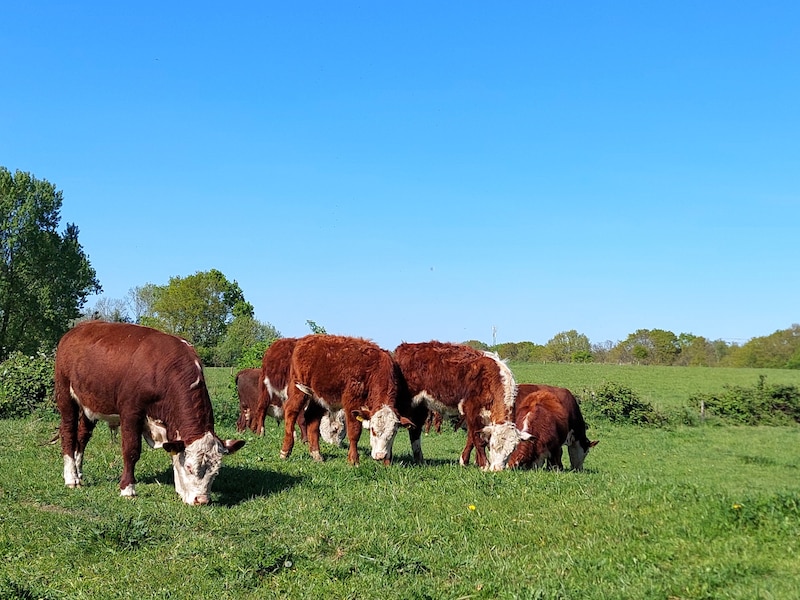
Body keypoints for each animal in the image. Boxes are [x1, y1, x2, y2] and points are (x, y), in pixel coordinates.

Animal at [54, 321, 245, 505]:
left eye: (216, 472)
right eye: (190, 467)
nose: (202, 500)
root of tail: (76, 330)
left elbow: (174, 453)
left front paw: (179, 490)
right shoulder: (130, 412)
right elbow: (131, 451)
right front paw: (127, 489)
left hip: (89, 404)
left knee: (82, 436)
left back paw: (78, 473)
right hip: (65, 395)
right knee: (68, 432)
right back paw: (71, 477)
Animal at [280, 335, 413, 466]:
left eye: (393, 433)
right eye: (373, 430)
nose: (380, 456)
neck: (375, 370)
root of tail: (306, 339)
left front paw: (387, 462)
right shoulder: (352, 403)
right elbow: (354, 432)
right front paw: (353, 459)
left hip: (317, 397)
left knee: (312, 418)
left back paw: (316, 454)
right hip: (298, 389)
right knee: (291, 412)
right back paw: (285, 451)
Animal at [393, 341, 520, 471]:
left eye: (511, 451)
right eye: (494, 446)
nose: (498, 469)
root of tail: (405, 346)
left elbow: (472, 438)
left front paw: (468, 461)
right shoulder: (471, 411)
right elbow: (477, 439)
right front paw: (484, 465)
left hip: (421, 405)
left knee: (415, 429)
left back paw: (420, 459)